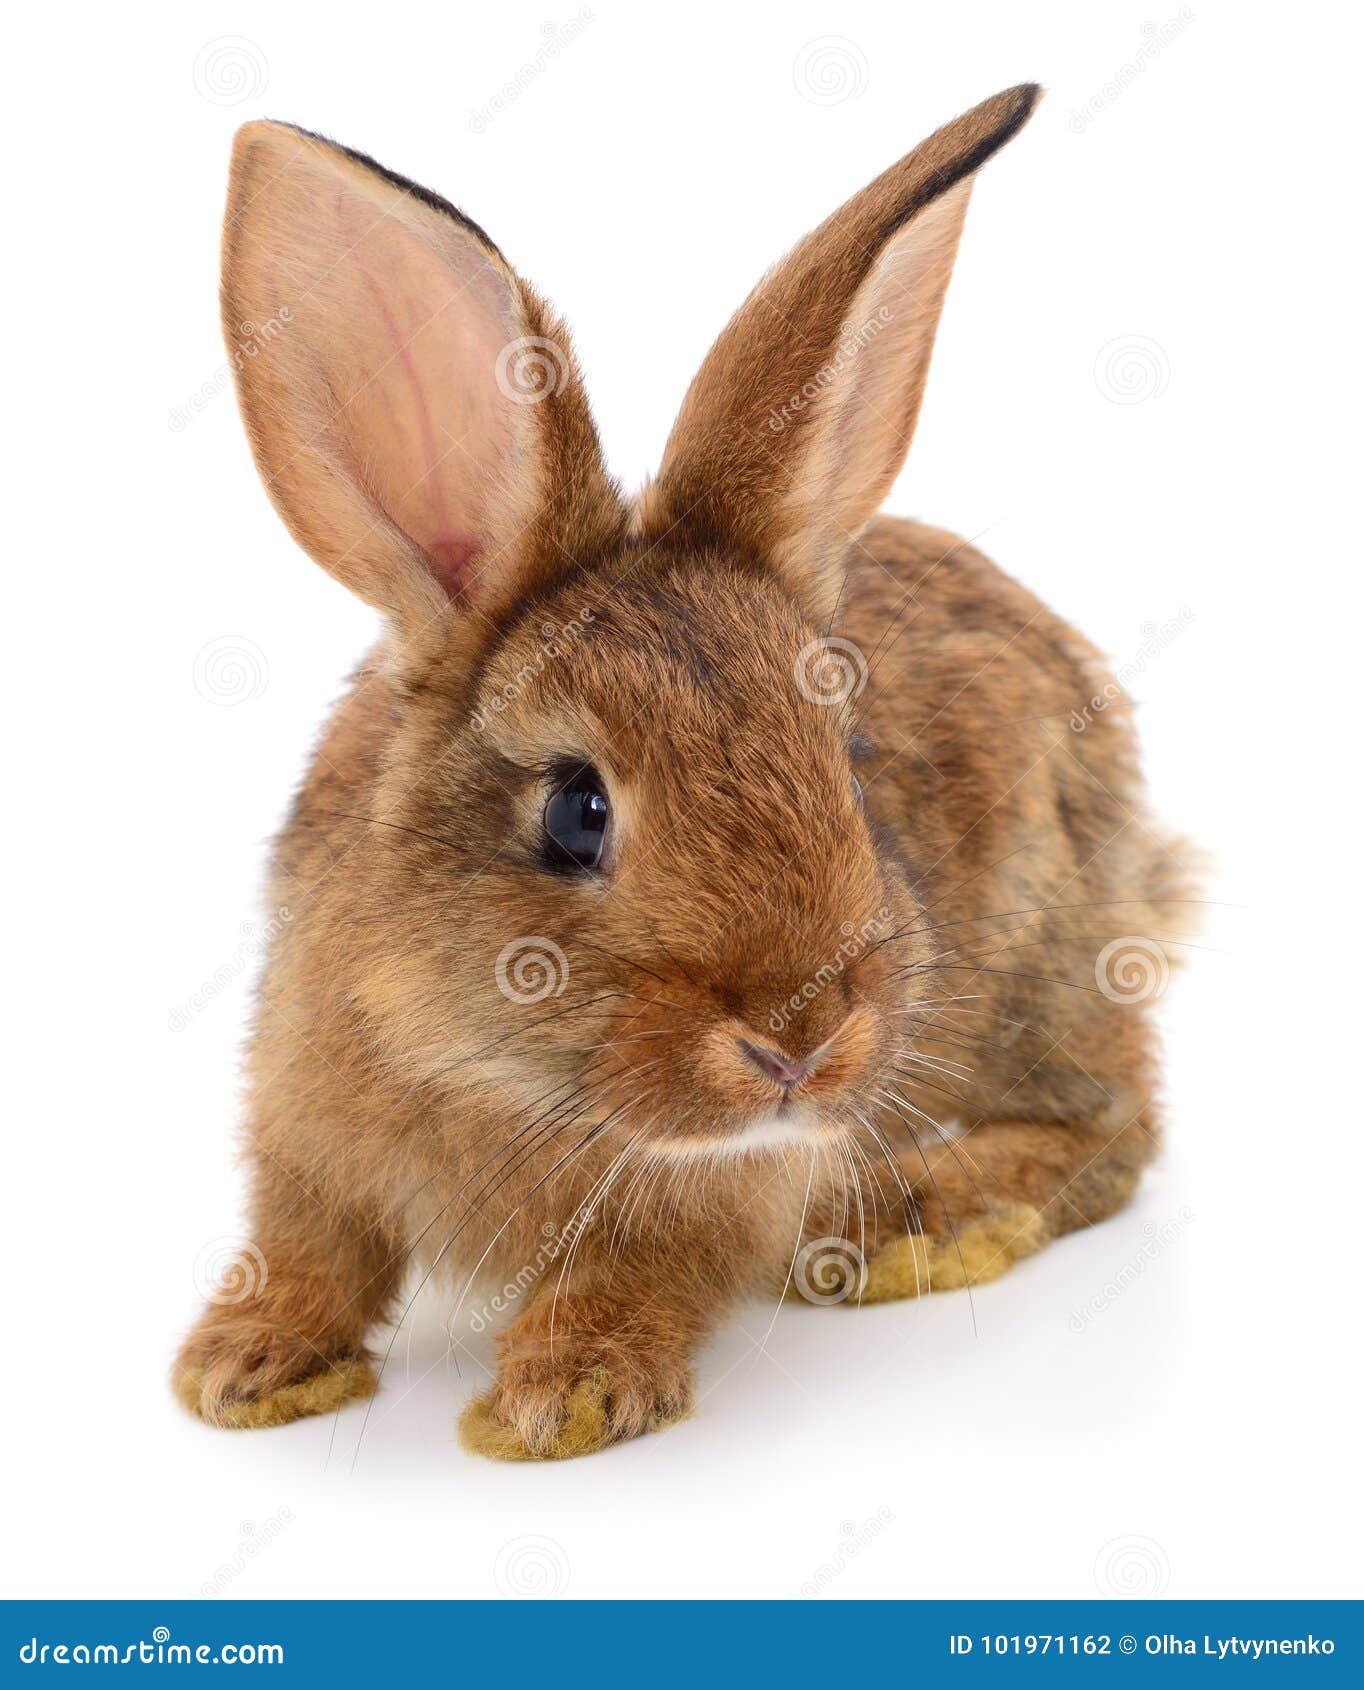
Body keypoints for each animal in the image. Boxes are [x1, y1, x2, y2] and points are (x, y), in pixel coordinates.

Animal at [174, 84, 1196, 1460]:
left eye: (848, 771)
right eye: (574, 811)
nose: (801, 1043)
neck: (499, 1074)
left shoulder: (714, 1194)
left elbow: (637, 1273)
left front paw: (554, 1402)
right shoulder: (299, 1129)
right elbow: (308, 1249)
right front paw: (244, 1368)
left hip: (1040, 964)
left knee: (1112, 1125)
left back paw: (910, 1216)